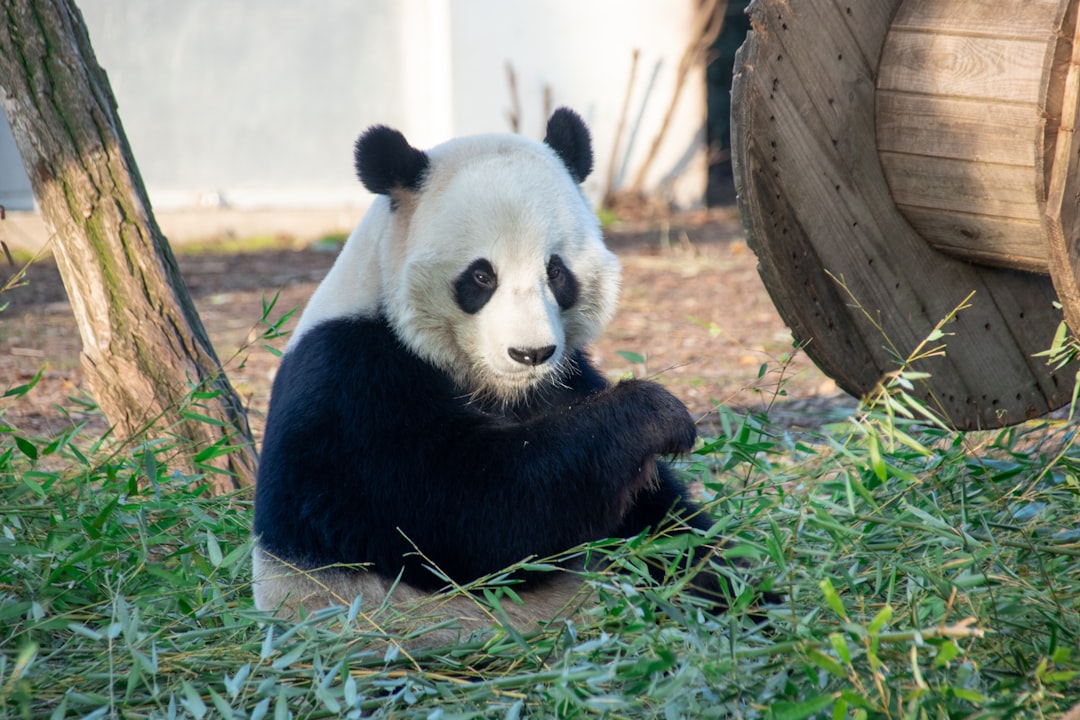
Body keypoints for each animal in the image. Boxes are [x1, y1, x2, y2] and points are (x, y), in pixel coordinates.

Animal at [252, 108, 759, 641]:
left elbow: (660, 519)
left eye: (556, 271)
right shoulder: (353, 387)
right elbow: (470, 513)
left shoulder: (566, 381)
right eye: (481, 276)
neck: (498, 388)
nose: (531, 353)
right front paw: (657, 415)